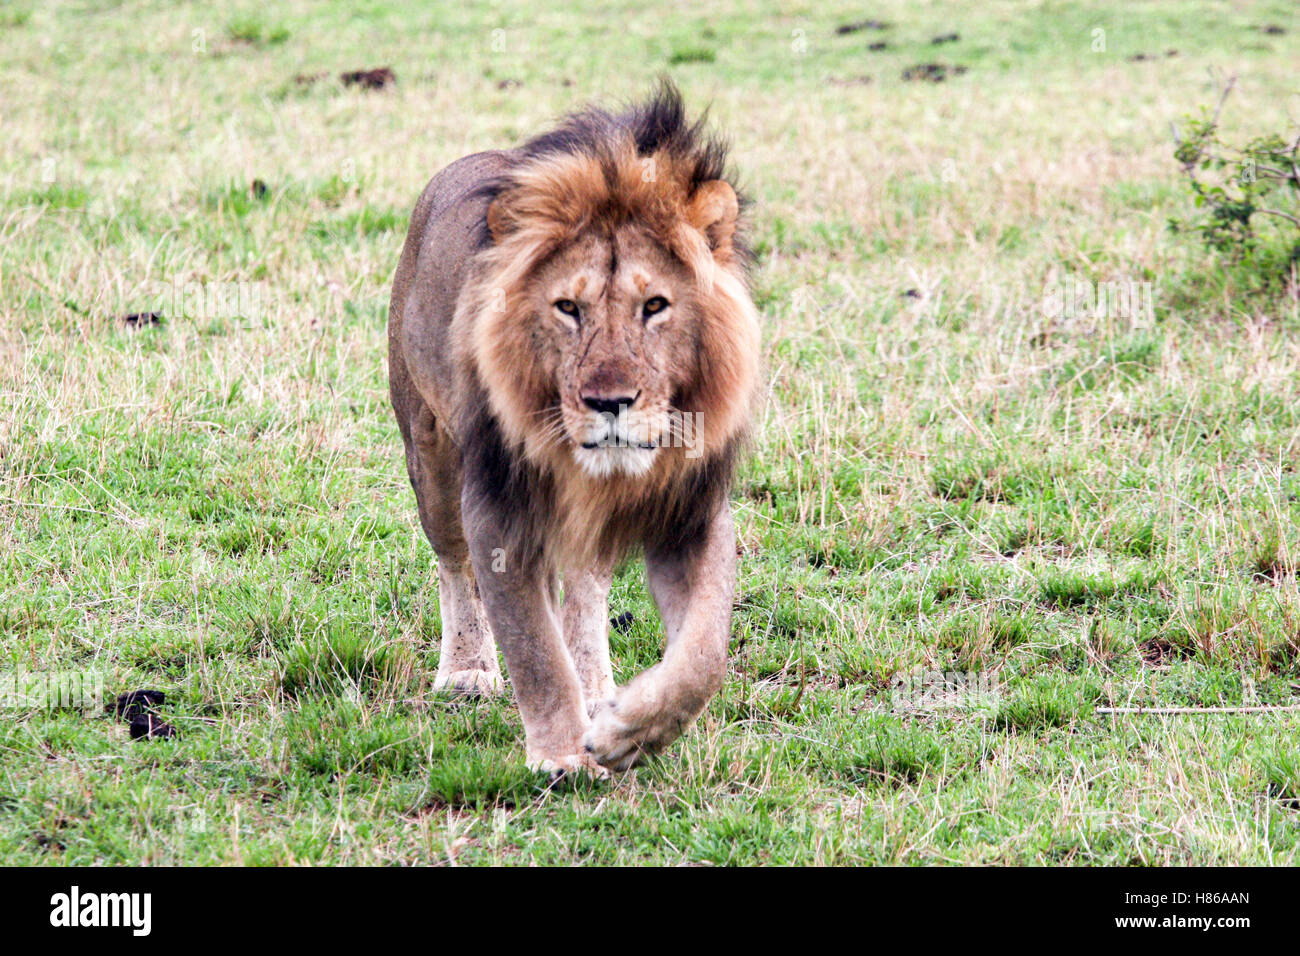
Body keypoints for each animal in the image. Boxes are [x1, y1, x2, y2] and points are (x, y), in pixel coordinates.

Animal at [387, 82, 760, 775]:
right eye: (567, 307)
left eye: (655, 305)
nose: (609, 401)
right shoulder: (497, 508)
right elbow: (533, 646)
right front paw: (562, 754)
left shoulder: (692, 509)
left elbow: (704, 652)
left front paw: (629, 731)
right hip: (430, 453)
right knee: (454, 563)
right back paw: (467, 670)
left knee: (585, 594)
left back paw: (597, 689)